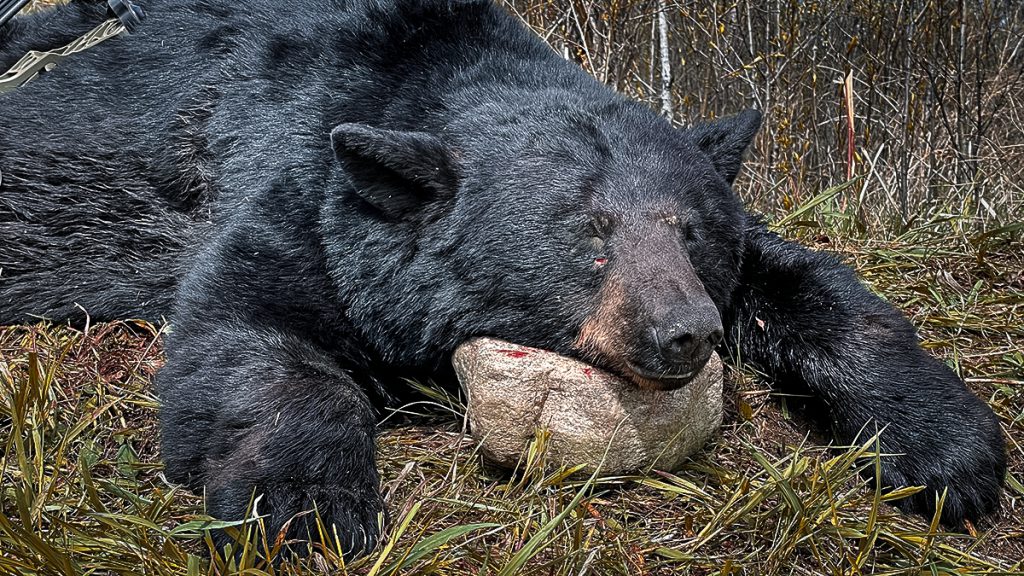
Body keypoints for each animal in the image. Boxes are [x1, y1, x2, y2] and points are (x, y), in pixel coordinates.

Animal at [0, 0, 1006, 559]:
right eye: (588, 234)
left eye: (690, 234)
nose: (688, 331)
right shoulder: (306, 188)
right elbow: (251, 328)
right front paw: (308, 506)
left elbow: (816, 293)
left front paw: (950, 451)